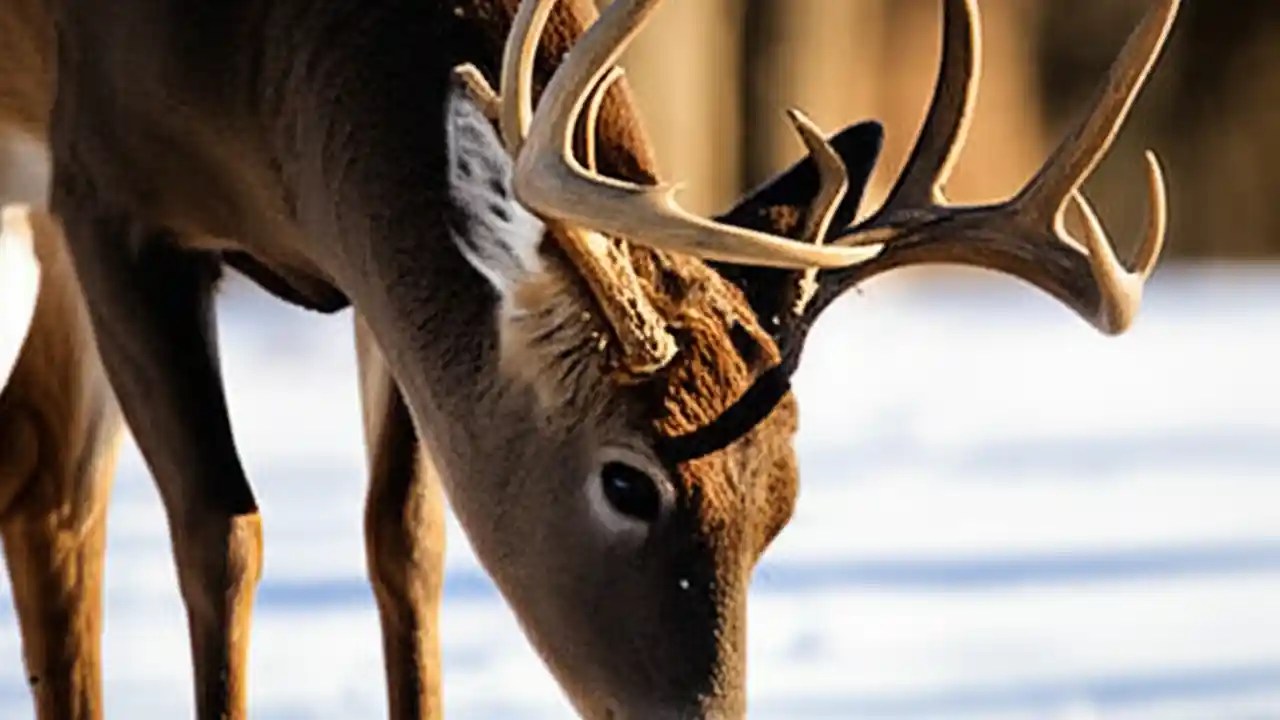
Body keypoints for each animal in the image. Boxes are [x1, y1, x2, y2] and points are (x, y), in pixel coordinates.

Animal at [0, 0, 1178, 717]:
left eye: (785, 500)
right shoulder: (105, 187)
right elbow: (222, 534)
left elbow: (408, 541)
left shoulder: (383, 291)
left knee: (43, 476)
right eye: (626, 480)